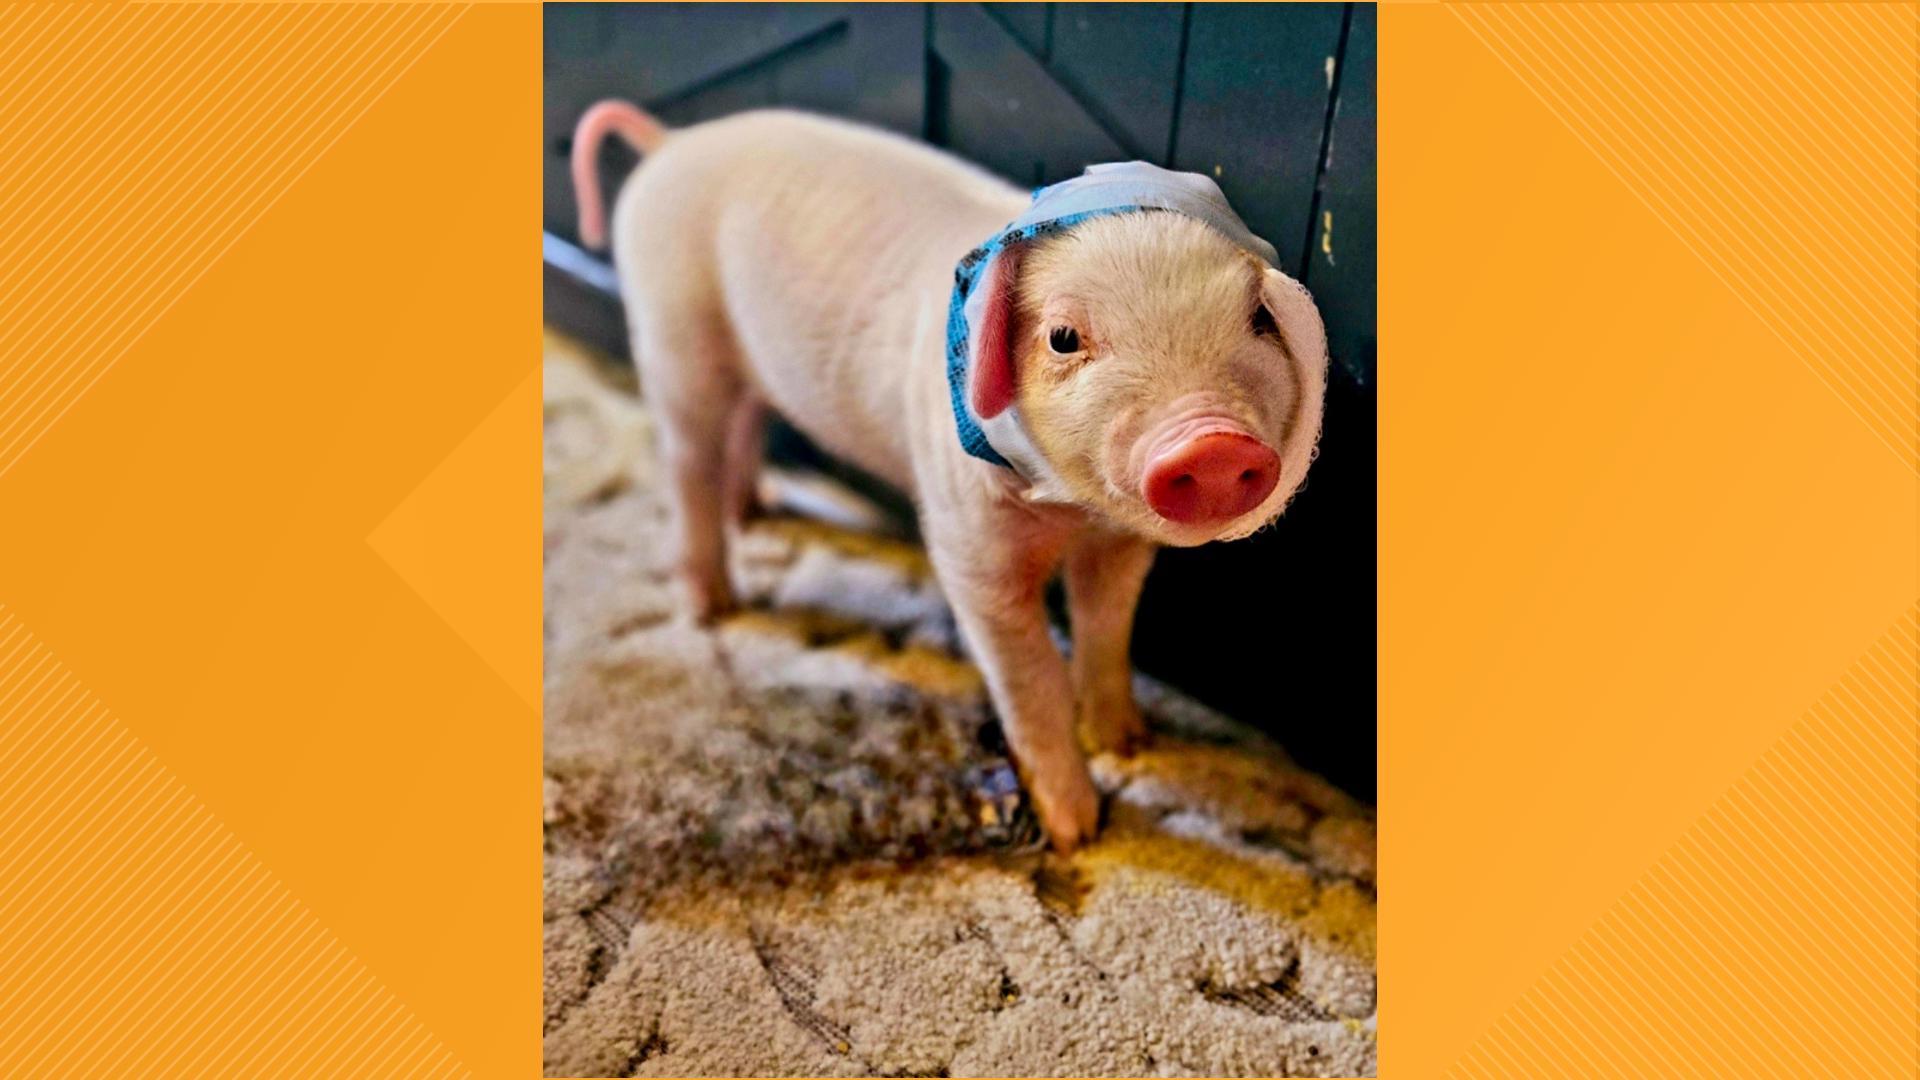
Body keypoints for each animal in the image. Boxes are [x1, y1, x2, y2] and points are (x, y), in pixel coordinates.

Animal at [570, 103, 1328, 851]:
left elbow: (1107, 624)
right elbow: (1030, 676)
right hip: (672, 335)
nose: (1213, 443)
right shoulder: (968, 539)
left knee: (746, 422)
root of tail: (670, 142)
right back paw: (713, 607)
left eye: (1259, 319)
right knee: (687, 460)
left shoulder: (1119, 543)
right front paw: (1078, 831)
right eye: (1062, 338)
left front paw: (1128, 744)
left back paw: (754, 509)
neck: (1070, 510)